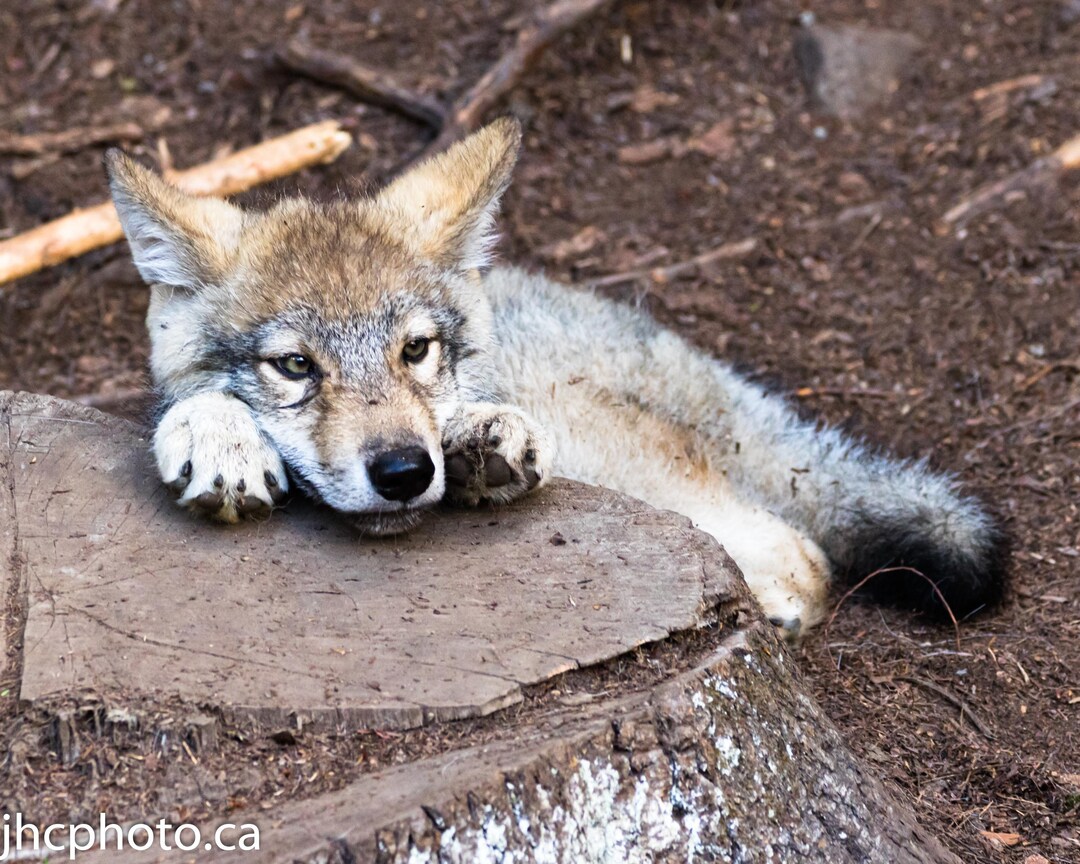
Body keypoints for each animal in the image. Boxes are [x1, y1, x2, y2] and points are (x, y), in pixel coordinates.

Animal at [105, 117, 1005, 638]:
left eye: (415, 351)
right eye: (295, 366)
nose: (404, 473)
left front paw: (478, 440)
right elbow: (195, 402)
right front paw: (218, 437)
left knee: (800, 554)